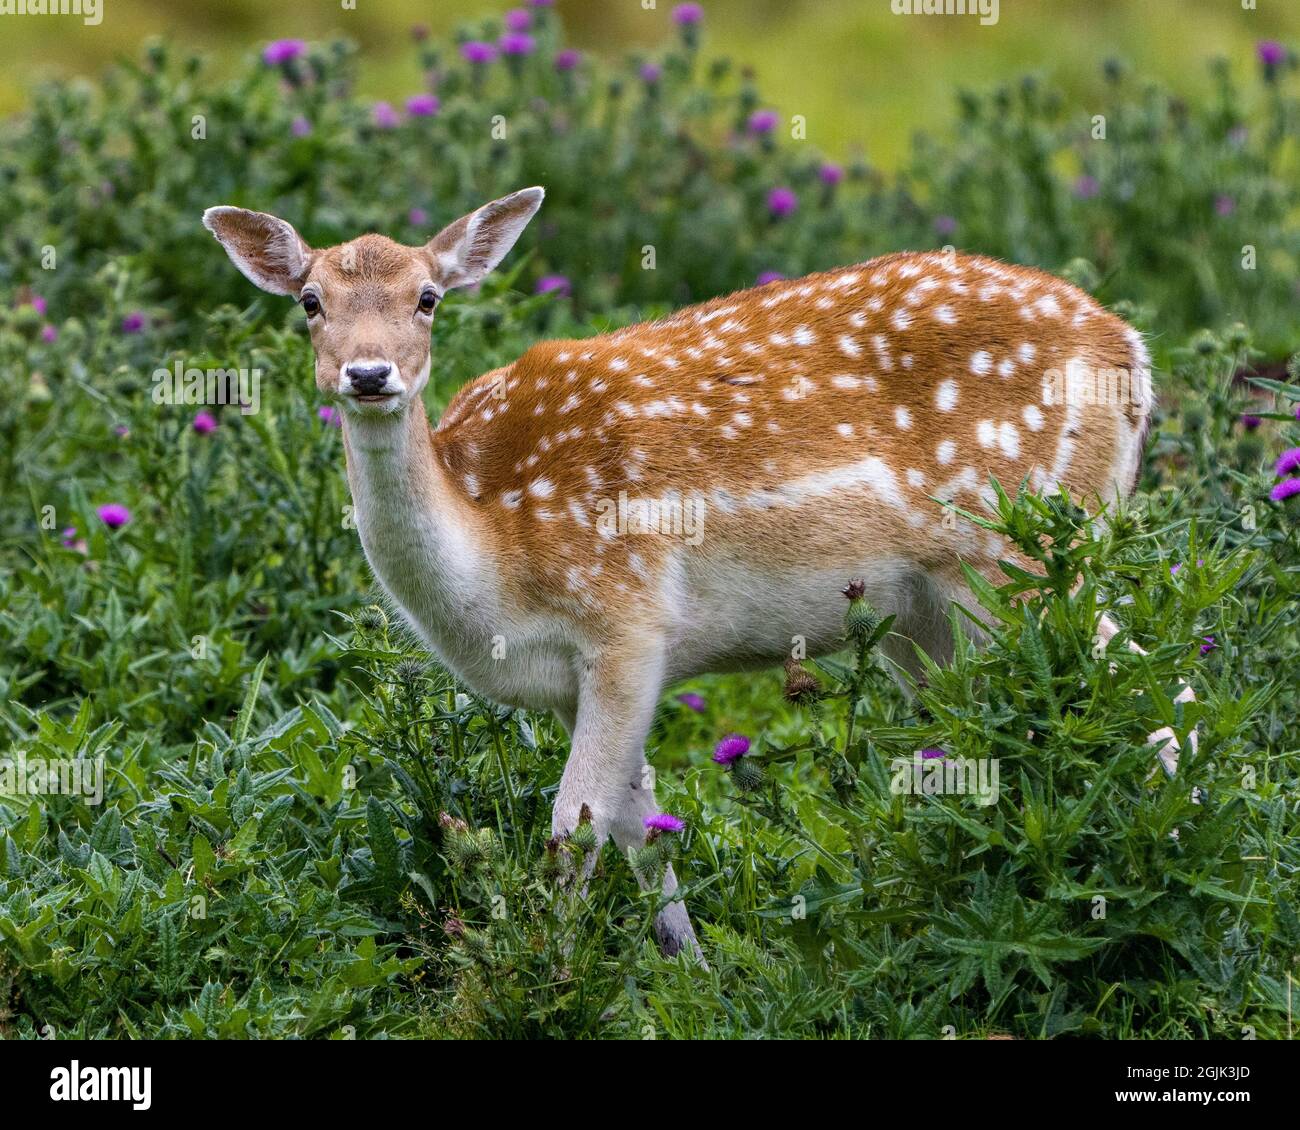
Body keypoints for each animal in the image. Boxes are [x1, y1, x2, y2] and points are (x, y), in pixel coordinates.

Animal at [203, 186, 1196, 962]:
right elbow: (639, 827)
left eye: (429, 297)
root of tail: (1135, 353)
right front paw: (689, 969)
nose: (369, 374)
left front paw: (547, 978)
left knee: (1158, 686)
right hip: (929, 618)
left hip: (1027, 545)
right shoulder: (569, 679)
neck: (495, 556)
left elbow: (574, 824)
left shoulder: (627, 619)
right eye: (309, 301)